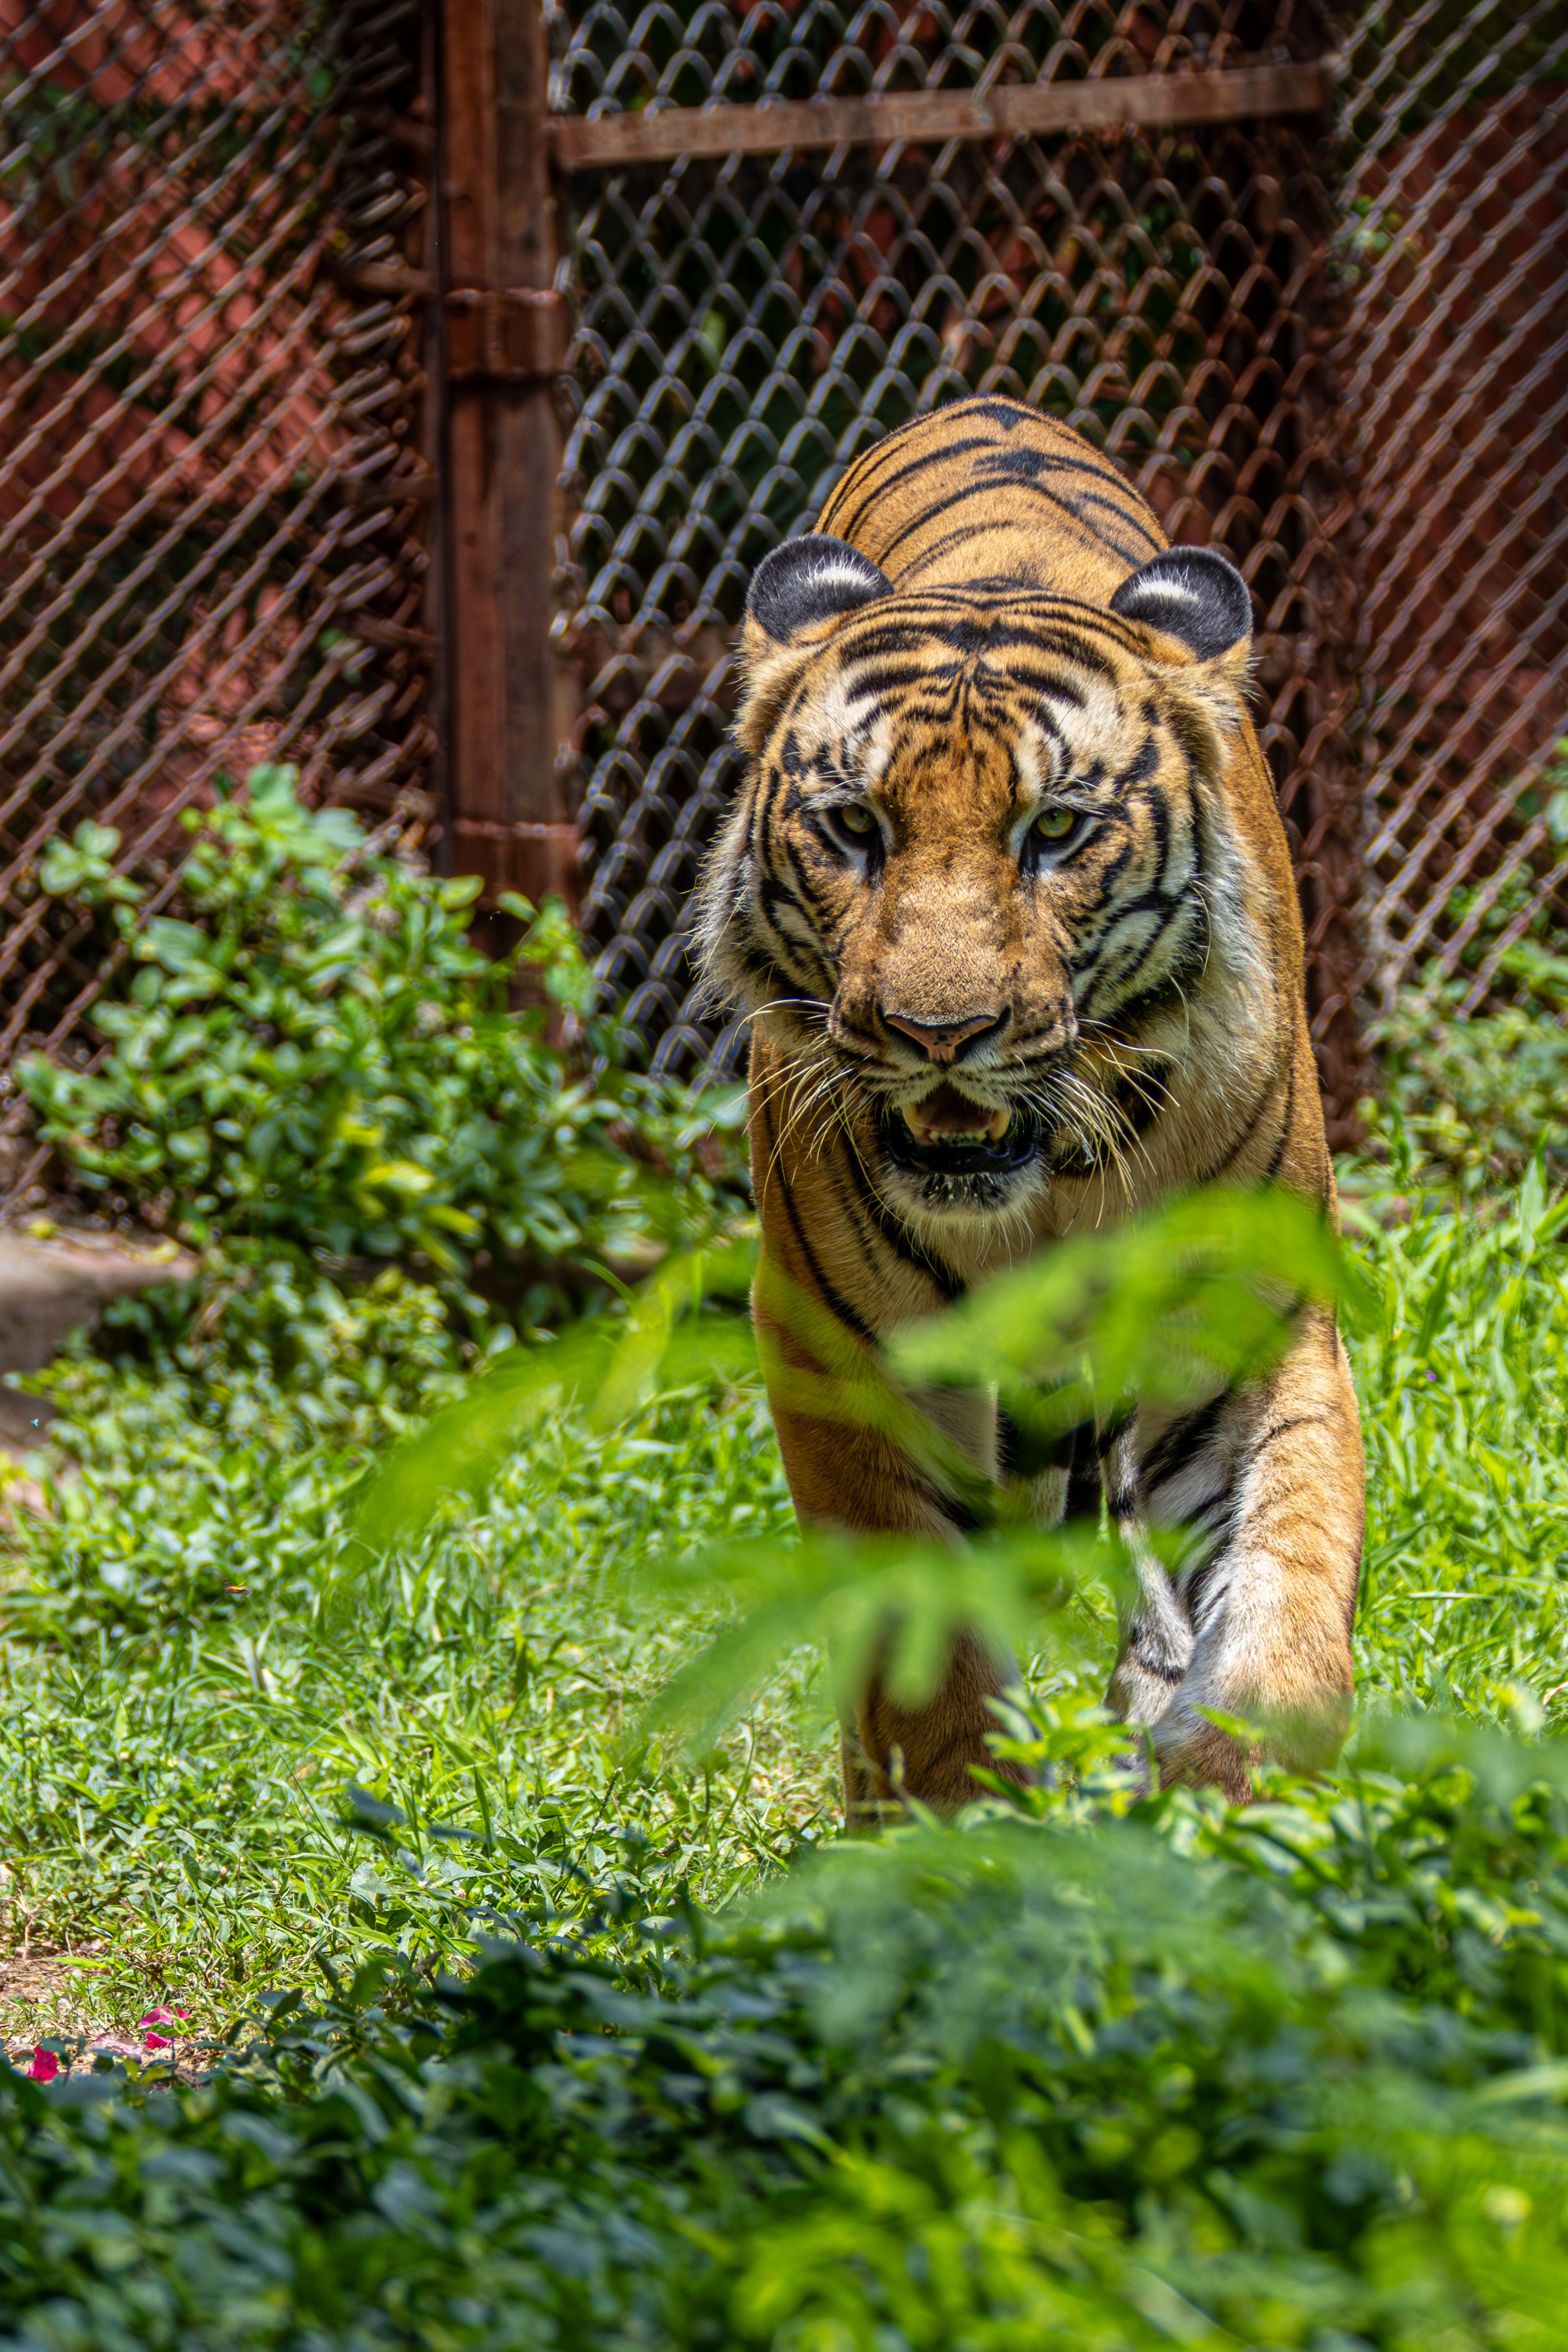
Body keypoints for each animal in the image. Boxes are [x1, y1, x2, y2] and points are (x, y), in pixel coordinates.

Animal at [693, 395, 1364, 1817]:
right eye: (854, 826)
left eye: (1054, 829)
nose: (939, 1034)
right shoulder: (849, 1357)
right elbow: (926, 1658)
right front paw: (961, 1831)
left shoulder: (1255, 1330)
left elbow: (1286, 1596)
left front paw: (1226, 1797)